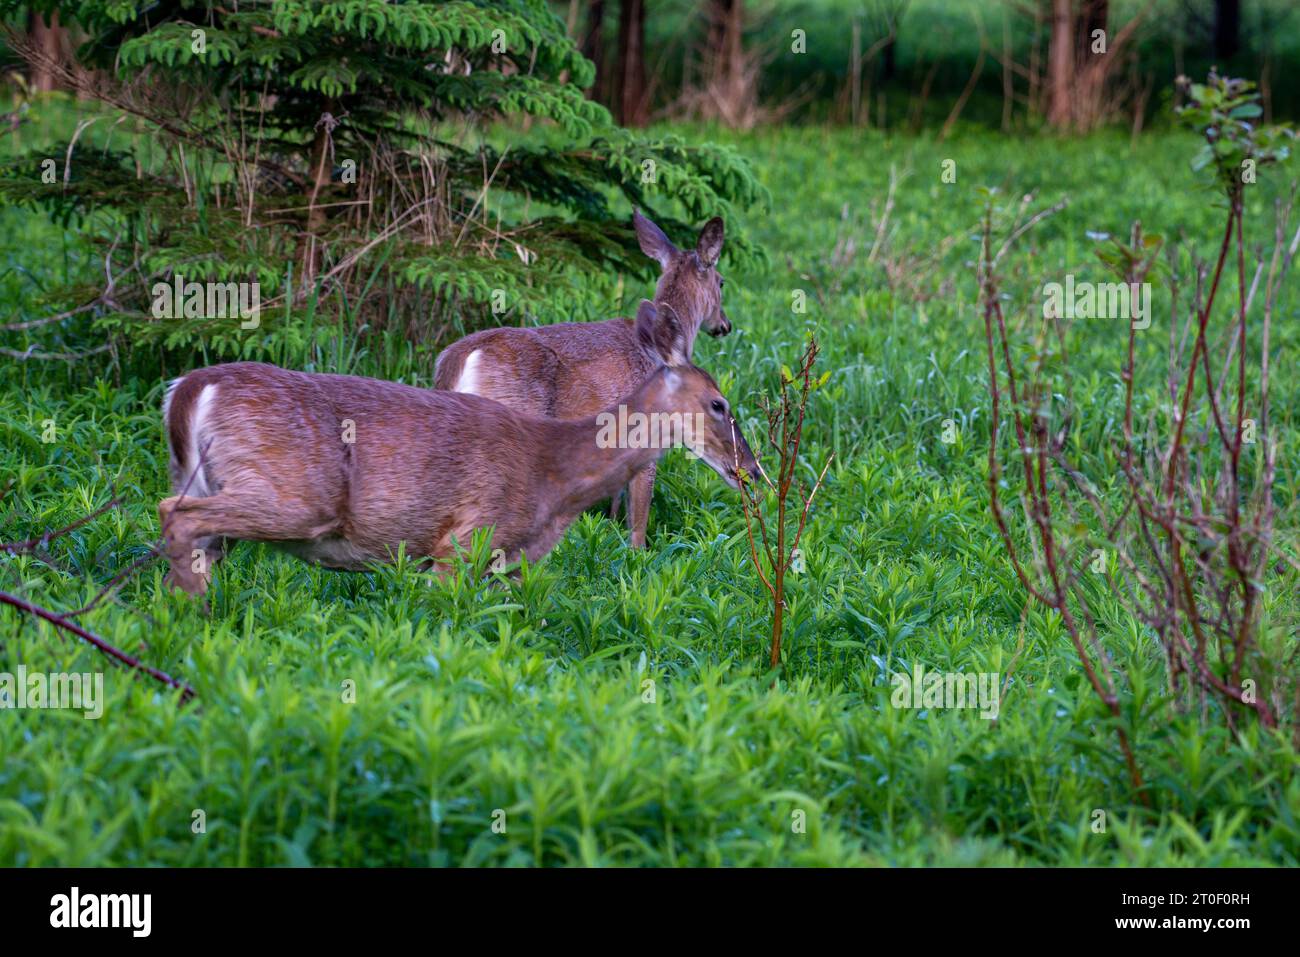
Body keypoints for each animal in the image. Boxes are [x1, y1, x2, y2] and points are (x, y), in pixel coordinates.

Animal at [157, 301, 758, 596]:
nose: (750, 469)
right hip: (294, 498)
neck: (554, 479)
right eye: (720, 403)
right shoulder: (463, 542)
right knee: (174, 516)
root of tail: (187, 389)